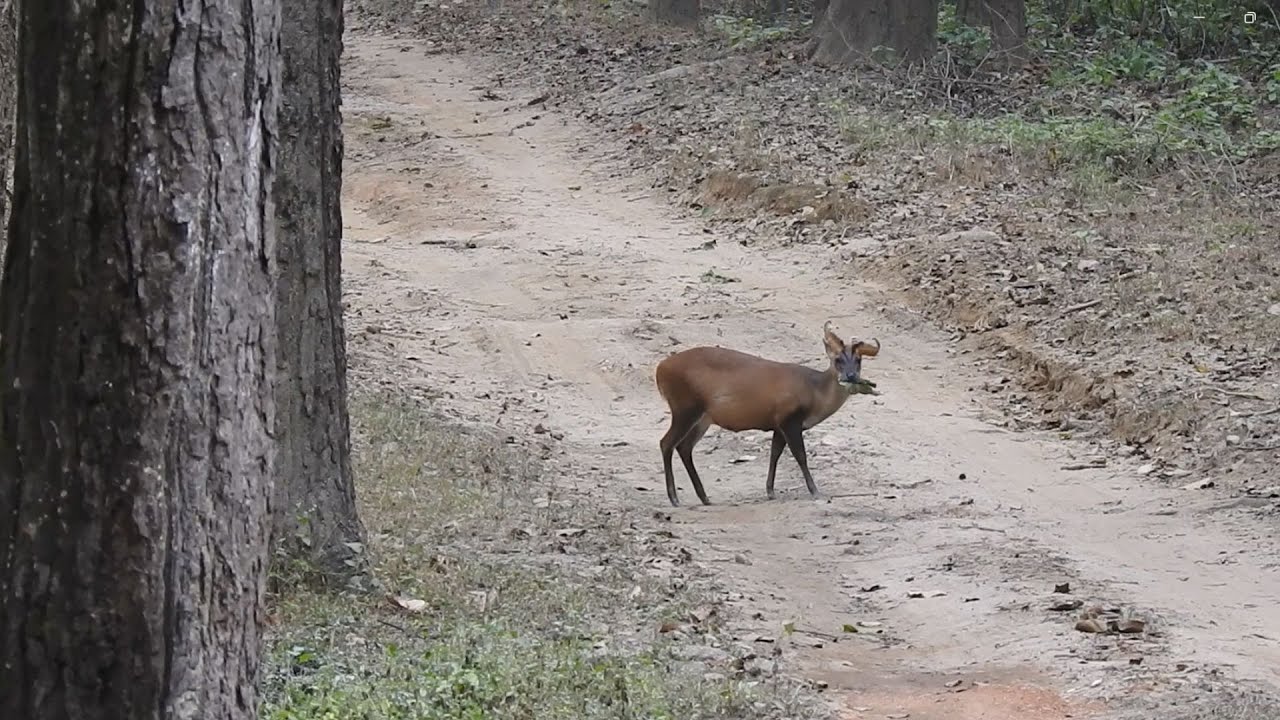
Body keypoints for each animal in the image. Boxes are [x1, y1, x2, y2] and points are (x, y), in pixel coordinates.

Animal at [654, 321, 881, 507]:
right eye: (837, 359)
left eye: (858, 360)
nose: (851, 376)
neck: (815, 392)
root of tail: (659, 369)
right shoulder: (790, 419)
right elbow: (800, 455)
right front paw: (815, 491)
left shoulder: (778, 423)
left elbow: (775, 454)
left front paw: (770, 491)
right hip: (684, 406)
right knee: (666, 443)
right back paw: (674, 498)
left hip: (703, 417)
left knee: (684, 447)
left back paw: (704, 497)